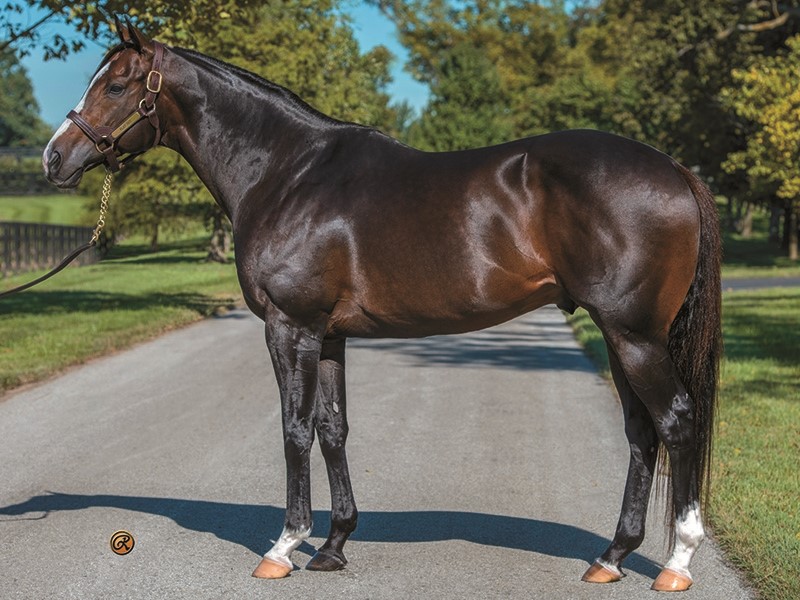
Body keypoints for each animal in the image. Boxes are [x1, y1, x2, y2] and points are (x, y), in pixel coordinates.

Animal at [42, 22, 721, 592]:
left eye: (117, 84)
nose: (54, 157)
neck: (286, 173)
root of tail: (674, 169)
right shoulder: (328, 335)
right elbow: (332, 429)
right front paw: (333, 544)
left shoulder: (290, 327)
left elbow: (293, 429)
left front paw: (284, 546)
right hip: (621, 335)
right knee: (642, 434)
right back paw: (611, 557)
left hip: (634, 335)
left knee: (677, 422)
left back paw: (677, 564)